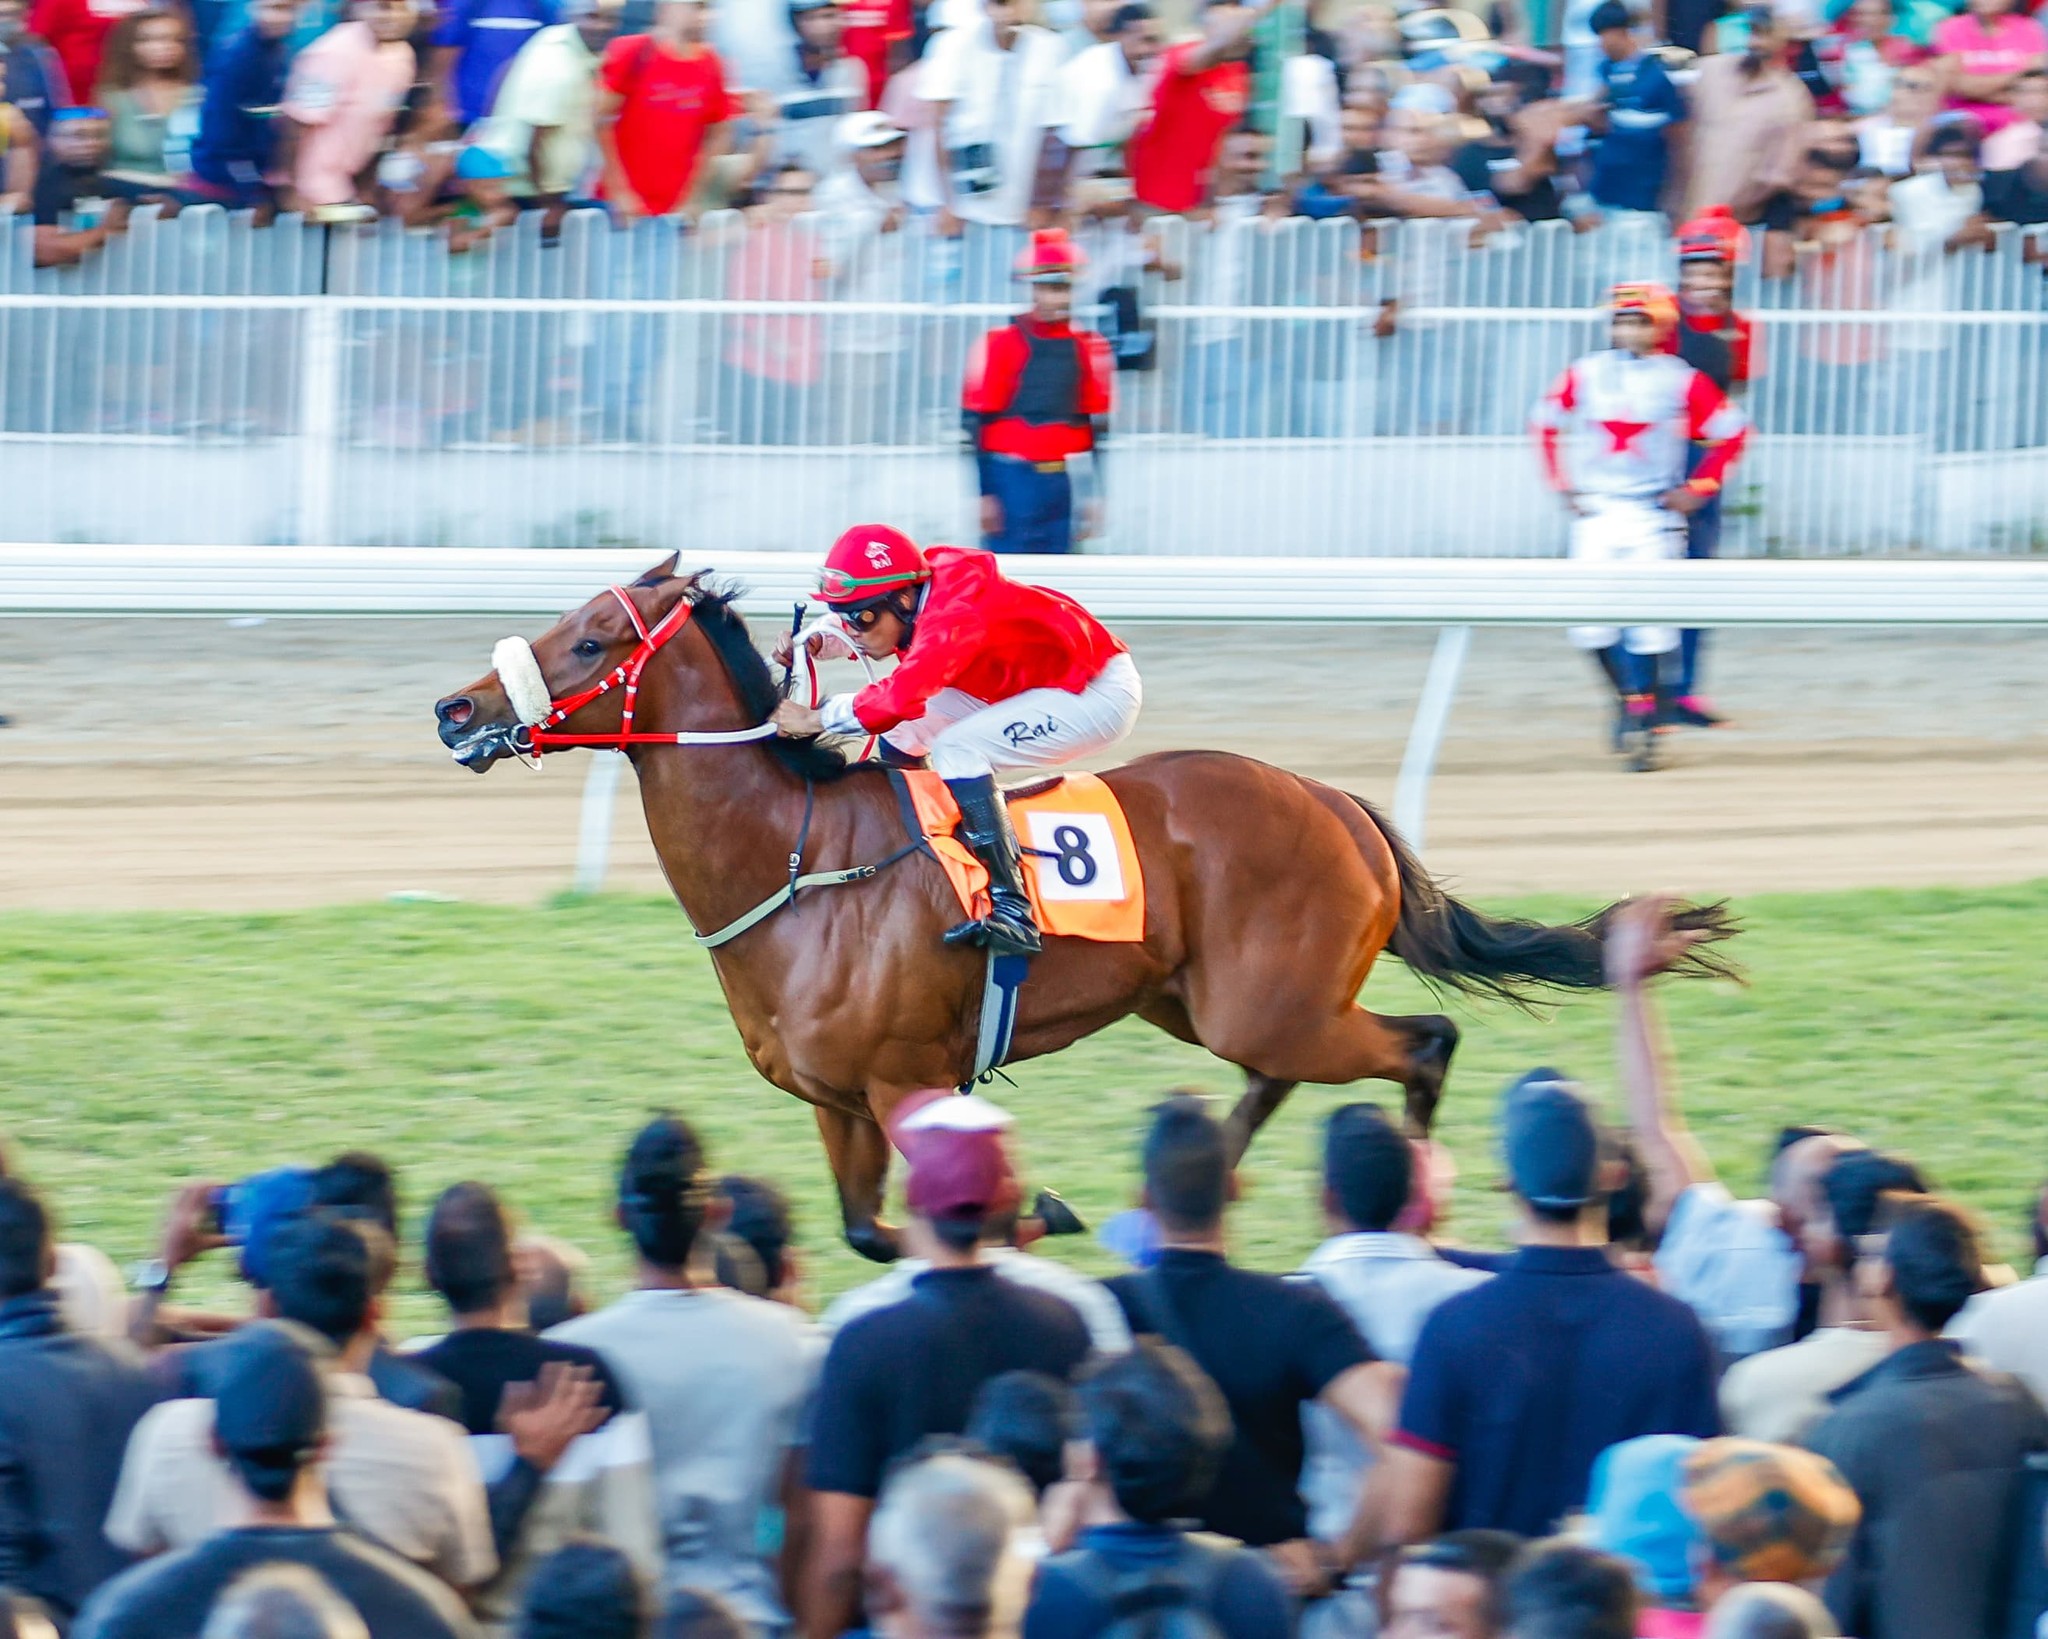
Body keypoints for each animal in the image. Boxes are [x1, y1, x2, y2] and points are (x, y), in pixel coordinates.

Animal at [434, 557, 1738, 1261]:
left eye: (589, 639)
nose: (456, 710)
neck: (795, 860)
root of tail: (1339, 804)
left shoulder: (907, 1081)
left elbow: (955, 1215)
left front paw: (1038, 1213)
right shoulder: (837, 1101)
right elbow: (864, 1230)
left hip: (1271, 1002)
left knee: (1422, 1042)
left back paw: (1406, 1201)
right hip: (1204, 1003)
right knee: (1280, 1078)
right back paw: (1195, 1191)